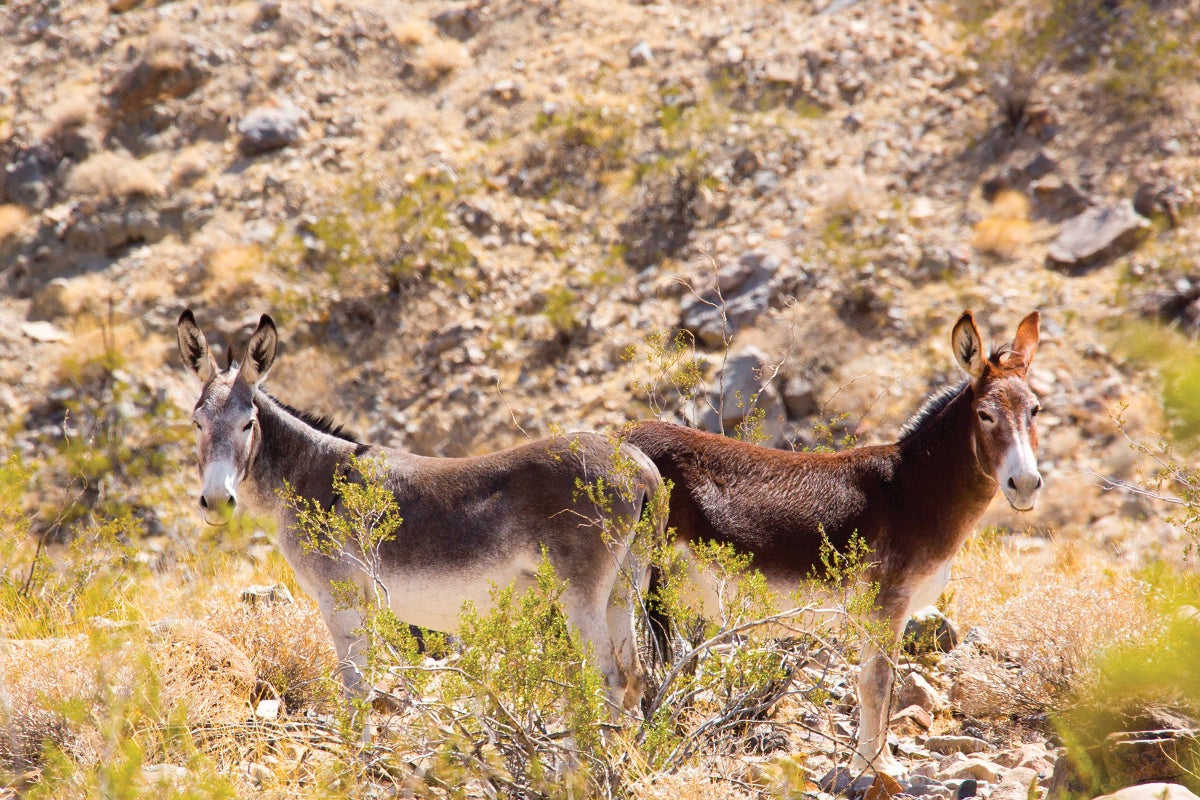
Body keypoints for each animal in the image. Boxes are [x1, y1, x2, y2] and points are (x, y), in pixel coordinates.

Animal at [177, 310, 663, 715]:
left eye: (248, 424)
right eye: (196, 424)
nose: (216, 501)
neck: (311, 476)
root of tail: (639, 466)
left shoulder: (339, 599)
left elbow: (355, 691)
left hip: (579, 594)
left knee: (606, 676)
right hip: (624, 589)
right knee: (634, 676)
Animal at [626, 310, 1043, 774]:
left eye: (1035, 410)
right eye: (986, 415)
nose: (1025, 484)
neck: (911, 489)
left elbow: (882, 684)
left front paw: (876, 760)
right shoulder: (887, 605)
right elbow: (876, 684)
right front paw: (875, 766)